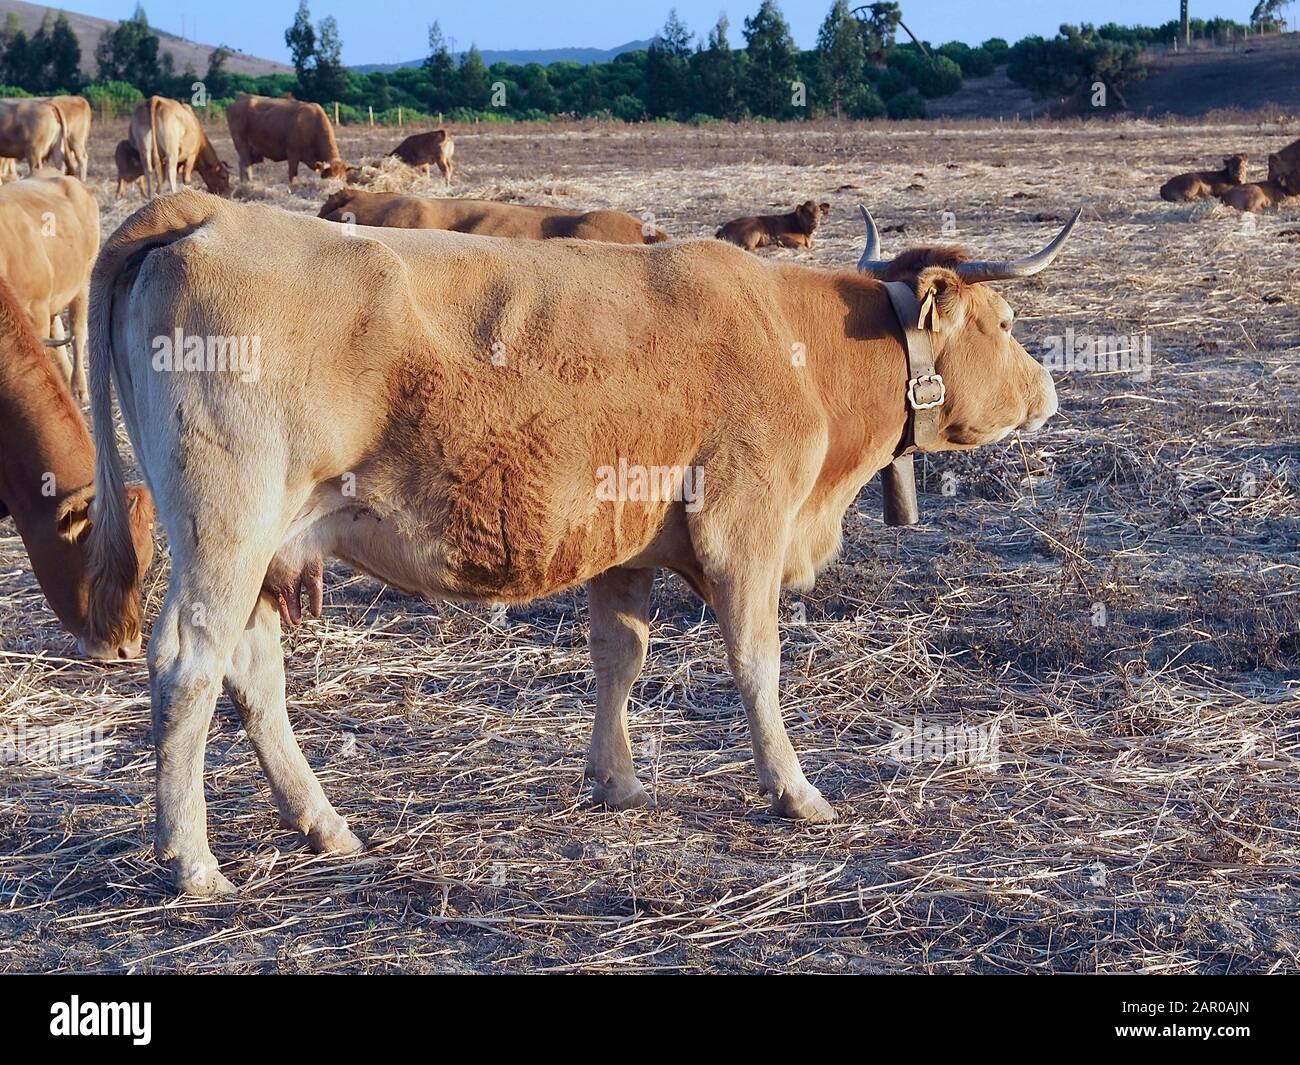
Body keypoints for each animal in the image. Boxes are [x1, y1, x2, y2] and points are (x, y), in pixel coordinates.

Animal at [84, 190, 1075, 896]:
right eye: (1007, 324)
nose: (1051, 390)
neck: (801, 339)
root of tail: (210, 212)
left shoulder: (626, 546)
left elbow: (619, 657)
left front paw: (619, 780)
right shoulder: (744, 529)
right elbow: (757, 665)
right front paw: (796, 789)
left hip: (265, 550)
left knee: (253, 673)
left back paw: (322, 823)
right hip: (229, 530)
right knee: (189, 668)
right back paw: (193, 860)